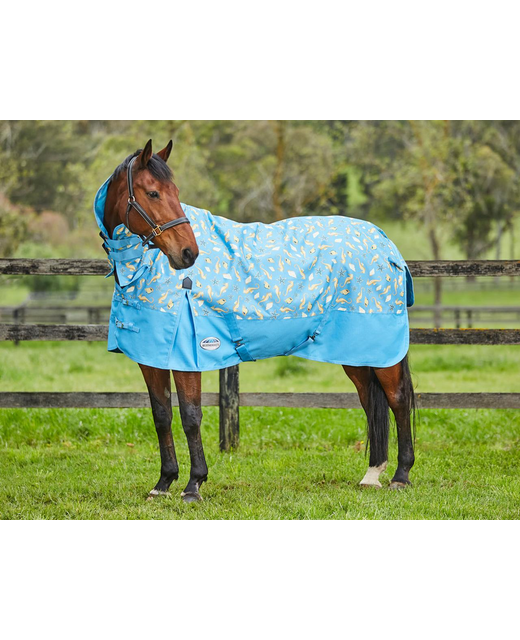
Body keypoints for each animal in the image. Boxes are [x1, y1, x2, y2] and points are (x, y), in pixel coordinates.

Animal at [98, 140, 416, 503]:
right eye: (153, 193)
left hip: (382, 352)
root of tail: (385, 242)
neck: (145, 268)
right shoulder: (151, 357)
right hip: (357, 355)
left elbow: (191, 416)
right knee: (370, 402)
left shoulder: (188, 357)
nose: (189, 253)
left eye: (175, 192)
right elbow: (161, 416)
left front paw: (194, 485)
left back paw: (401, 475)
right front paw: (163, 483)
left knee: (398, 399)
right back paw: (372, 473)